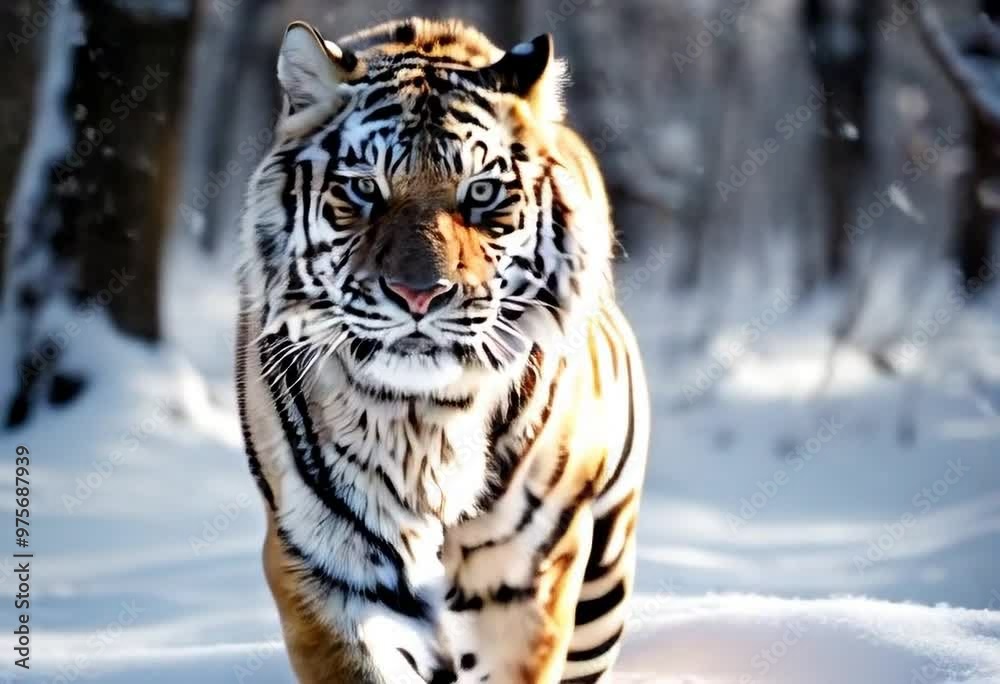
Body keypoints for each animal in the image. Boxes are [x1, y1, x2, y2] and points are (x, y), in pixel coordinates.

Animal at [236, 16, 650, 684]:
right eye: (364, 188)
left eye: (480, 193)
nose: (419, 293)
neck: (418, 420)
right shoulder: (328, 566)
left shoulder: (524, 576)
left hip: (602, 587)